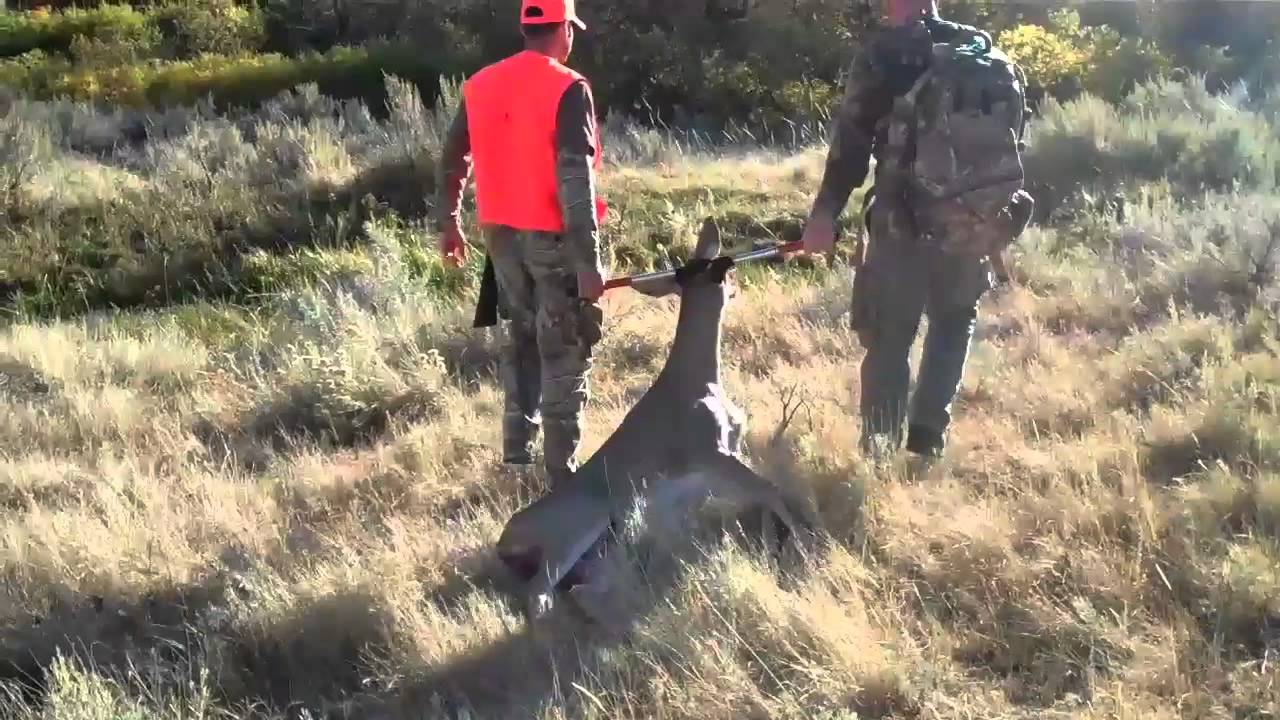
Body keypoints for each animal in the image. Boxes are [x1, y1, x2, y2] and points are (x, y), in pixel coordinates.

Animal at [494, 218, 819, 628]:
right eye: (718, 269)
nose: (735, 282)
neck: (700, 381)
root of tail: (504, 541)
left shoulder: (723, 459)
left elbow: (760, 496)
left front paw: (772, 545)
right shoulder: (710, 452)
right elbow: (770, 489)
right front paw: (804, 546)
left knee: (577, 586)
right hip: (580, 525)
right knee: (539, 593)